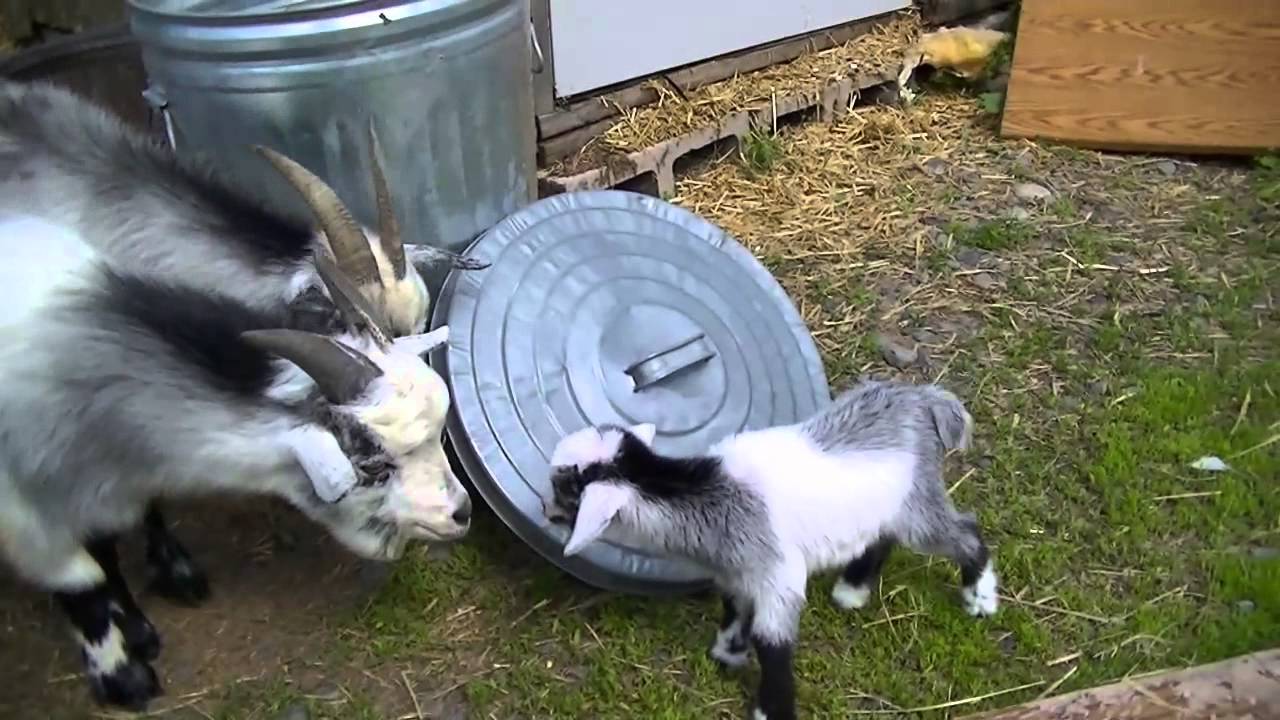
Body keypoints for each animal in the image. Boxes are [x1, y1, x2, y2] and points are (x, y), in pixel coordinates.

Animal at [542, 380, 998, 720]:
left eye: (563, 487)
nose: (545, 512)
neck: (711, 491)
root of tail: (922, 399)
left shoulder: (778, 576)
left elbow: (771, 640)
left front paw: (769, 708)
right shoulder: (737, 573)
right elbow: (734, 608)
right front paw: (728, 652)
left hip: (918, 506)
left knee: (964, 531)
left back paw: (980, 596)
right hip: (888, 507)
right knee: (881, 536)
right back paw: (852, 589)